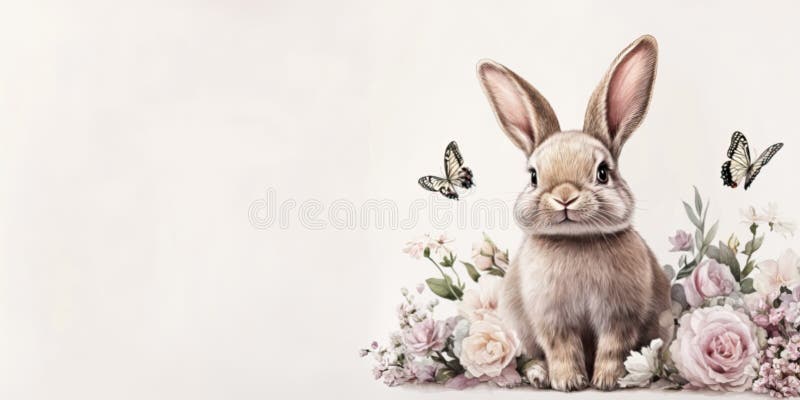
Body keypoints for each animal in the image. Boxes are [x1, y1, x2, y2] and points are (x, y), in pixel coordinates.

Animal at [476, 35, 673, 391]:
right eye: (534, 176)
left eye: (603, 173)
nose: (564, 197)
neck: (576, 240)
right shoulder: (551, 318)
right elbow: (562, 347)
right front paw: (568, 382)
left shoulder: (619, 315)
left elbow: (613, 346)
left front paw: (607, 381)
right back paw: (539, 375)